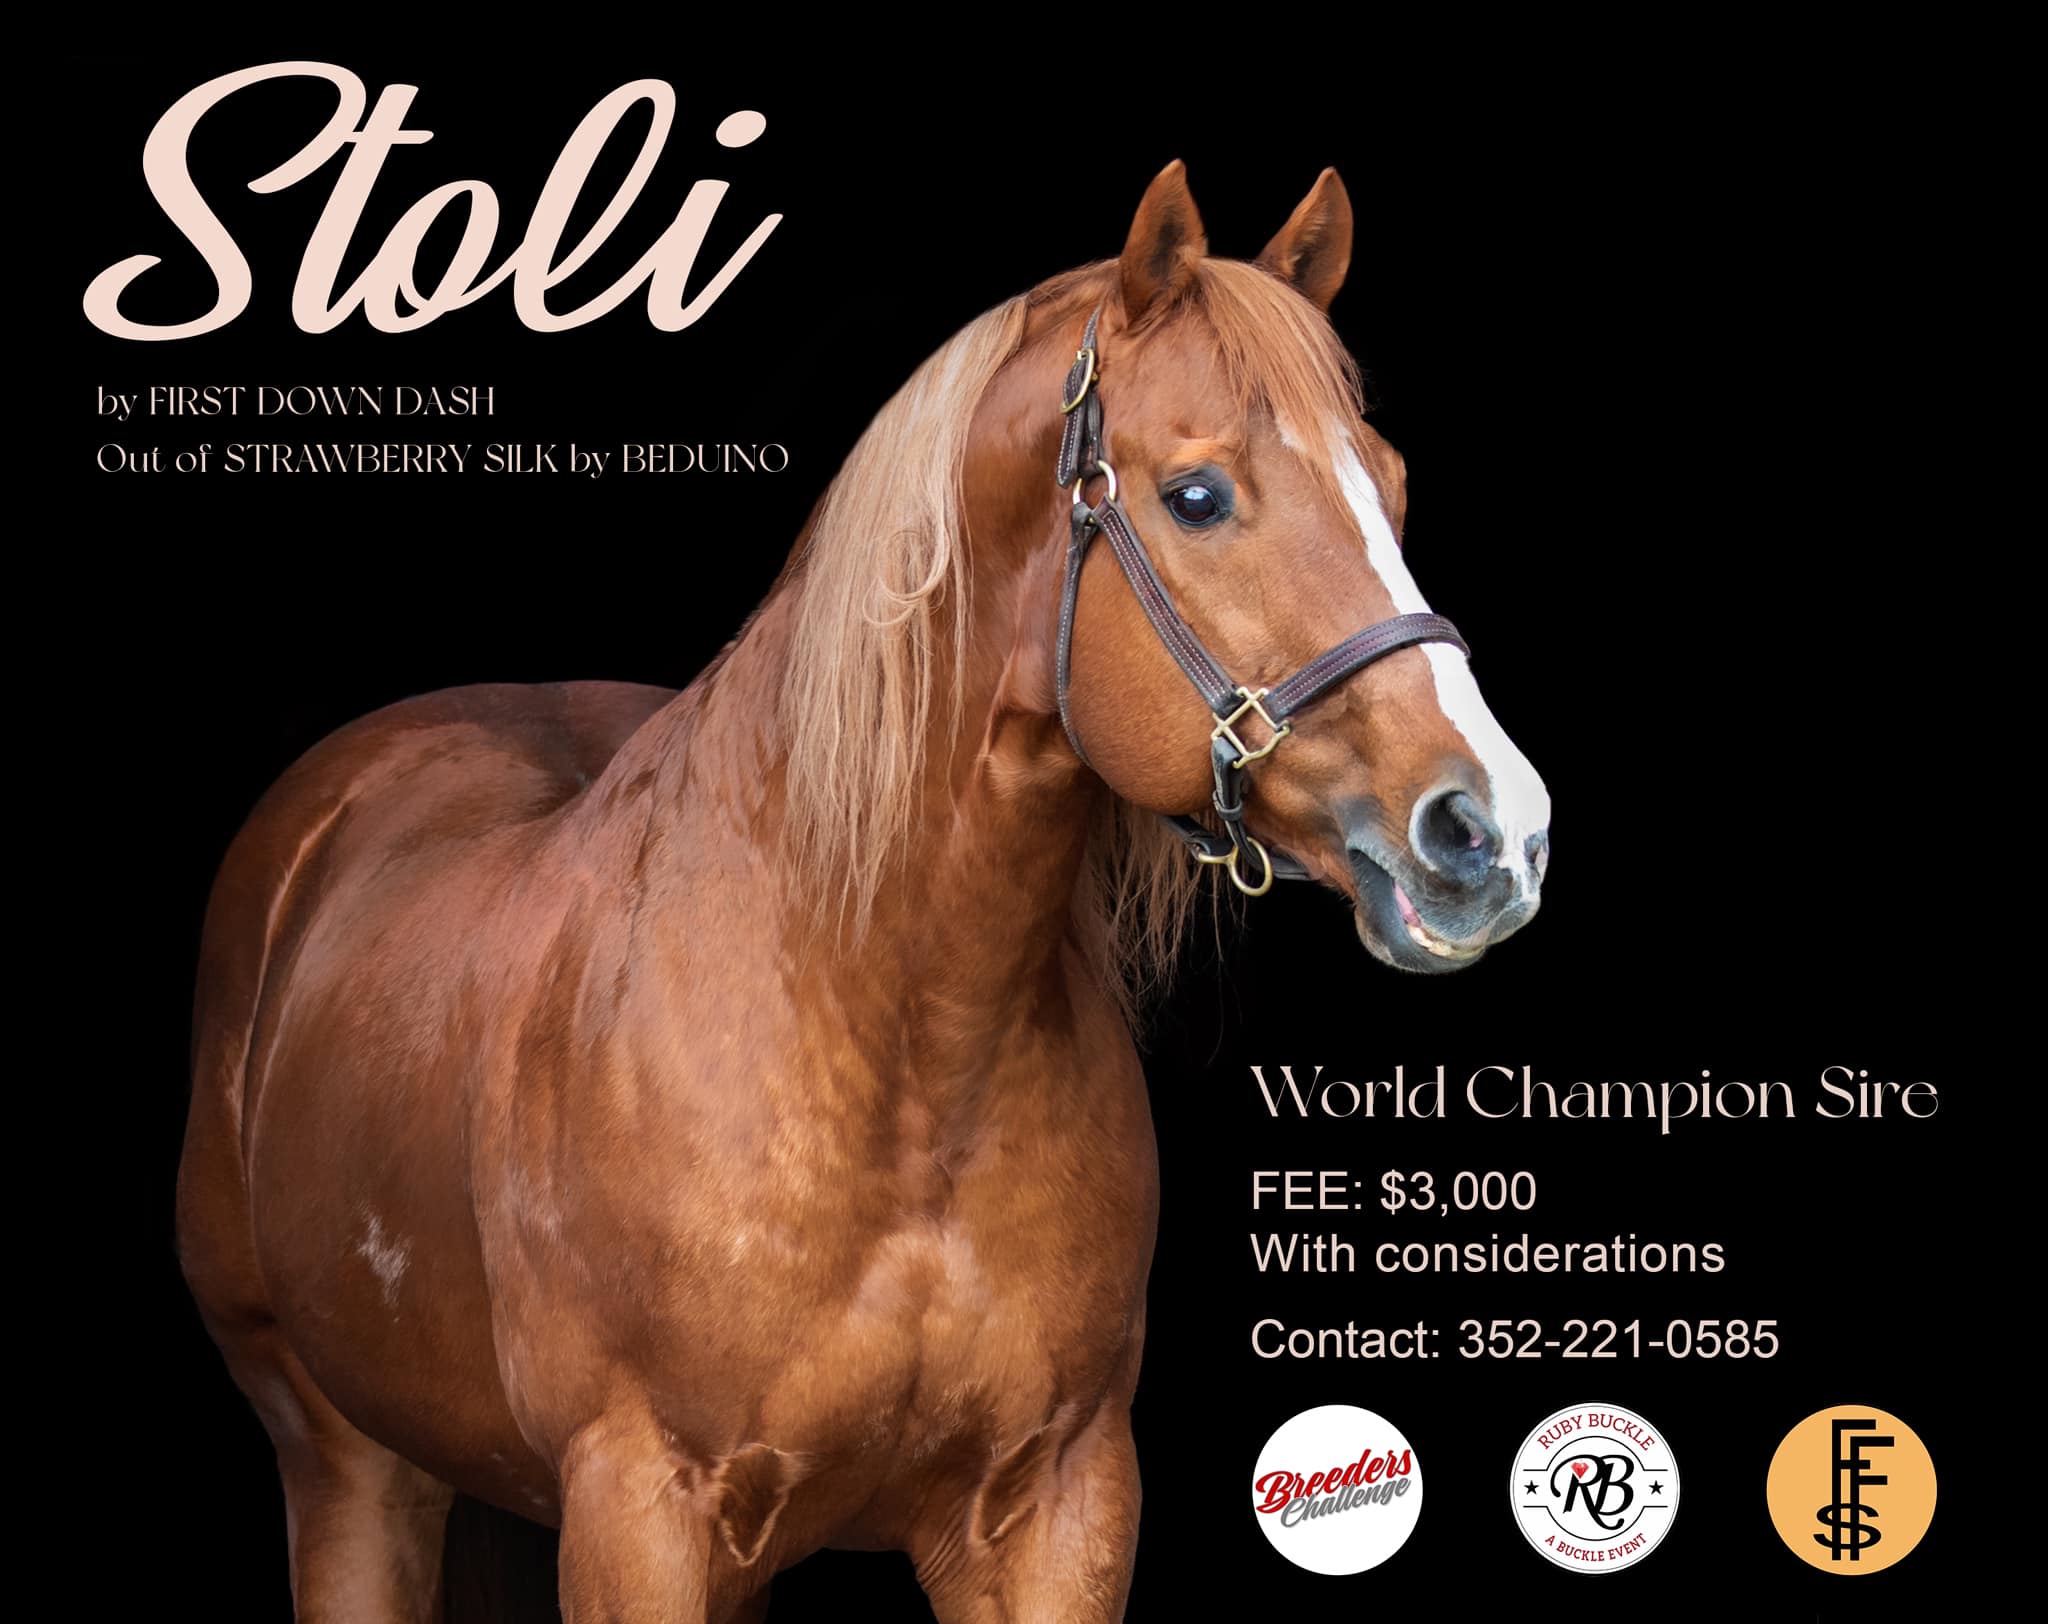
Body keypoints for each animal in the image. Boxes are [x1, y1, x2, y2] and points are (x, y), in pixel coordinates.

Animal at [176, 160, 1550, 1623]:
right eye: (1194, 496)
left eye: (1390, 488)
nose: (1492, 830)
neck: (895, 1050)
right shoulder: (636, 1513)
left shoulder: (1057, 1506)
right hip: (347, 1470)